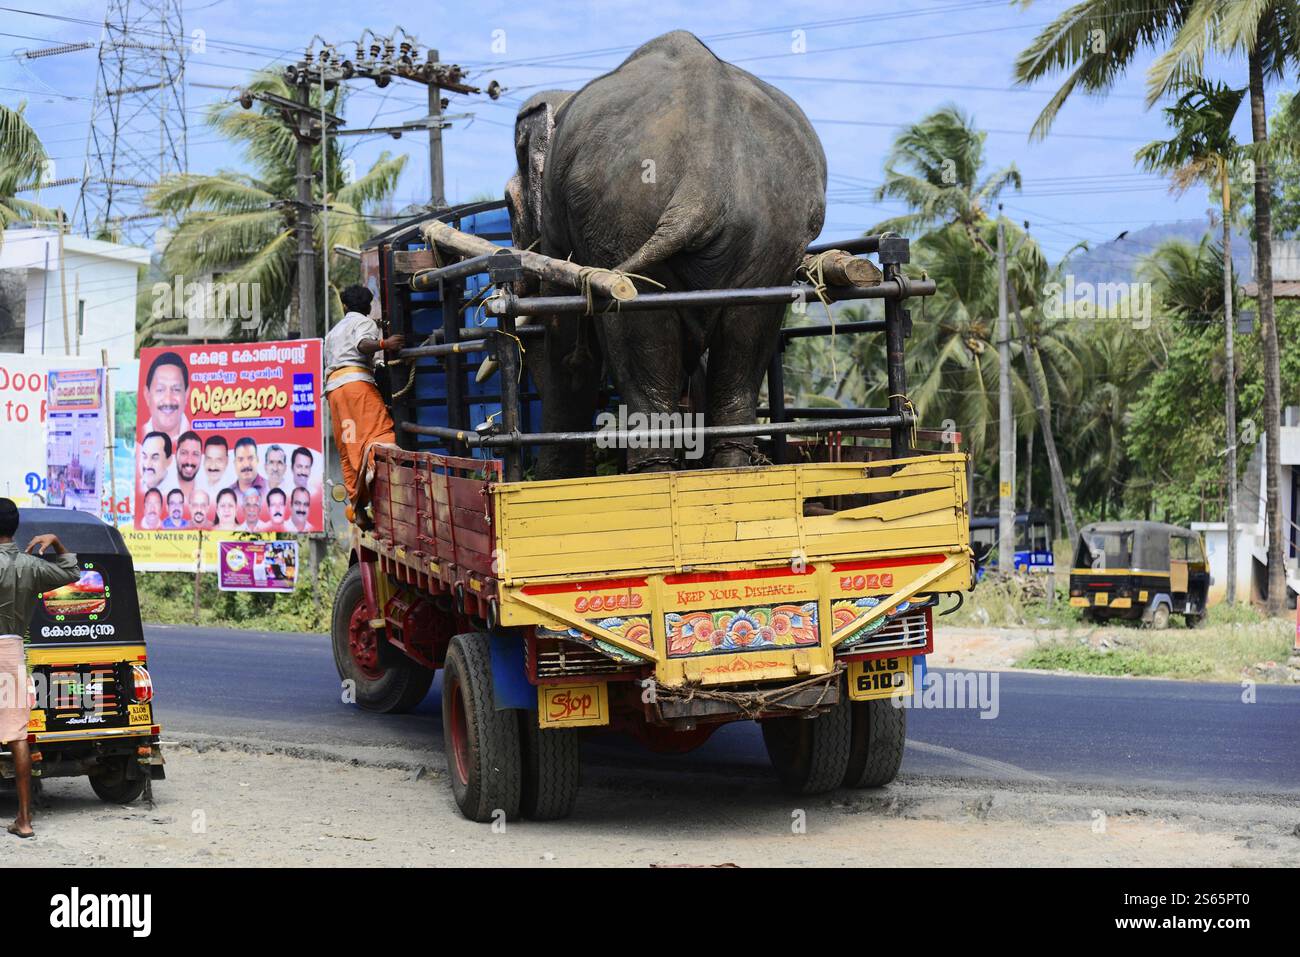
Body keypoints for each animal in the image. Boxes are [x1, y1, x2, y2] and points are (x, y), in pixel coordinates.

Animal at [503, 30, 827, 477]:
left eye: (507, 204)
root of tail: (705, 181)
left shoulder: (556, 221)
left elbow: (565, 337)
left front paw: (552, 480)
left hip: (620, 219)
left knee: (634, 331)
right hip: (772, 236)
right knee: (747, 335)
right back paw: (728, 469)